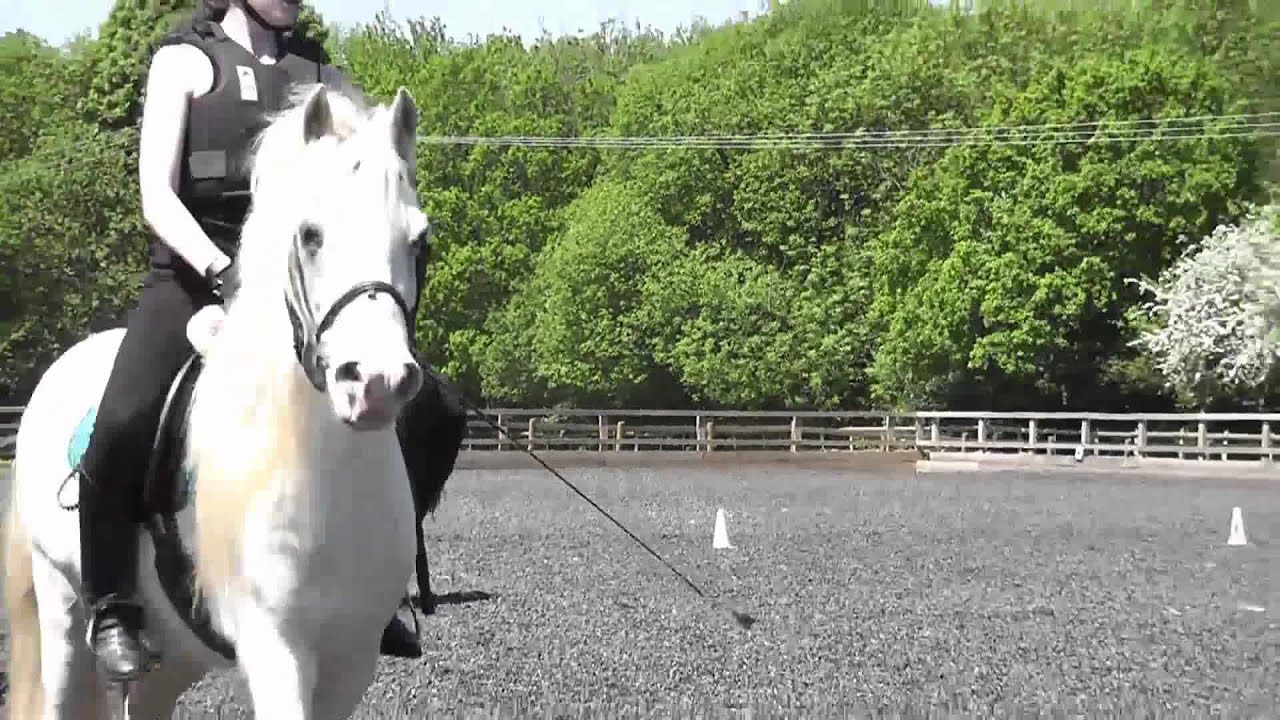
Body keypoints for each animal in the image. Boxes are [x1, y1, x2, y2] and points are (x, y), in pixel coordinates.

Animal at [2, 82, 432, 720]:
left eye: (420, 239)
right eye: (310, 234)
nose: (374, 381)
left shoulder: (352, 658)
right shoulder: (276, 646)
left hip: (176, 651)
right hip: (61, 611)